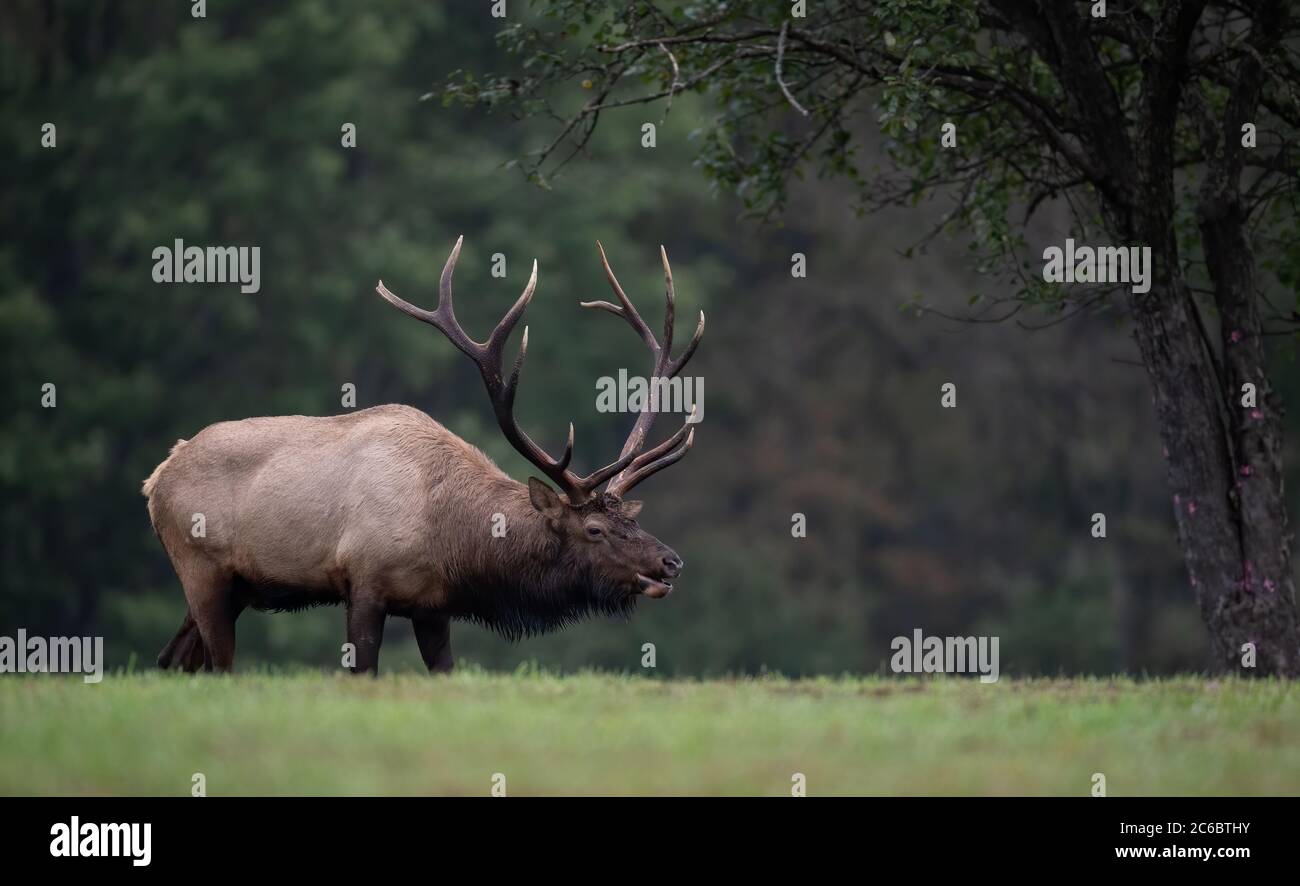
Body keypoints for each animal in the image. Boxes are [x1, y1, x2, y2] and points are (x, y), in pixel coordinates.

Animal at [144, 237, 703, 675]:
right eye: (594, 529)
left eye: (632, 521)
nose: (671, 561)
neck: (449, 535)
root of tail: (156, 478)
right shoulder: (364, 580)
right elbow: (363, 671)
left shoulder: (433, 605)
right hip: (200, 568)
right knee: (217, 664)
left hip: (232, 586)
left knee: (173, 659)